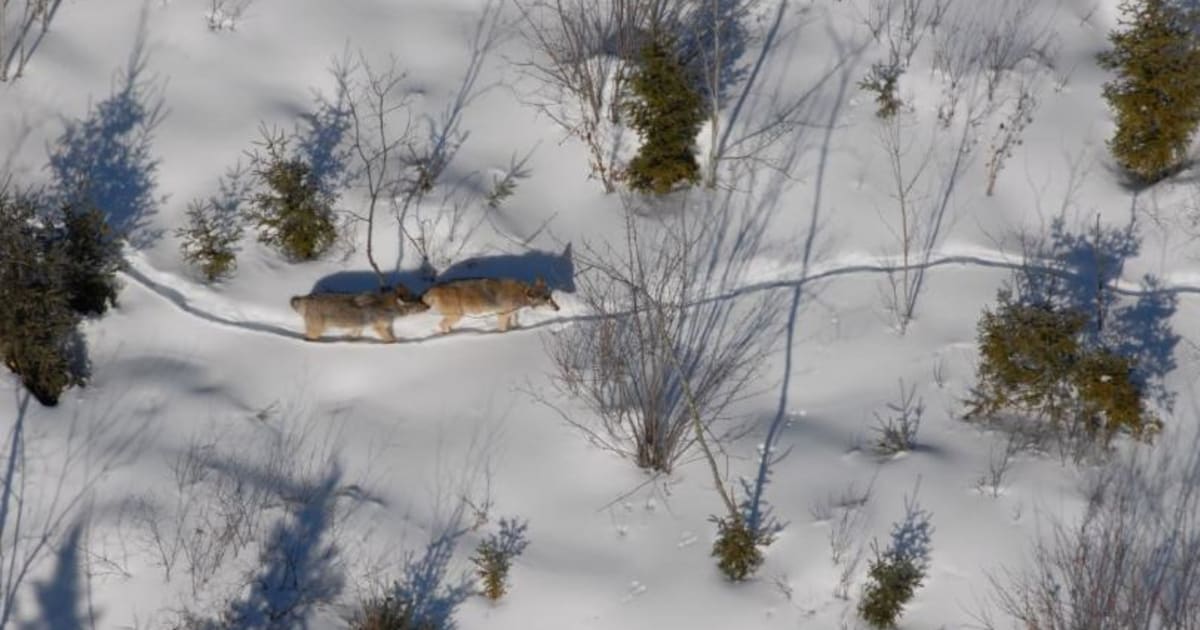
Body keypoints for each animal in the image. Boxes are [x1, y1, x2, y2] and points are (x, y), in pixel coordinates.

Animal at [290, 284, 429, 342]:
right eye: (418, 303)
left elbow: (354, 335)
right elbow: (391, 340)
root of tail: (307, 297)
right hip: (316, 331)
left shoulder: (360, 327)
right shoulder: (379, 327)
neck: (389, 308)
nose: (428, 306)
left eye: (421, 299)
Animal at [420, 276, 560, 333]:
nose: (558, 308)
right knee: (442, 325)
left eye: (551, 296)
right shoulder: (502, 316)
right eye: (546, 299)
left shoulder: (511, 314)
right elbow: (503, 329)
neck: (522, 293)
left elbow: (514, 323)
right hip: (457, 316)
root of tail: (431, 289)